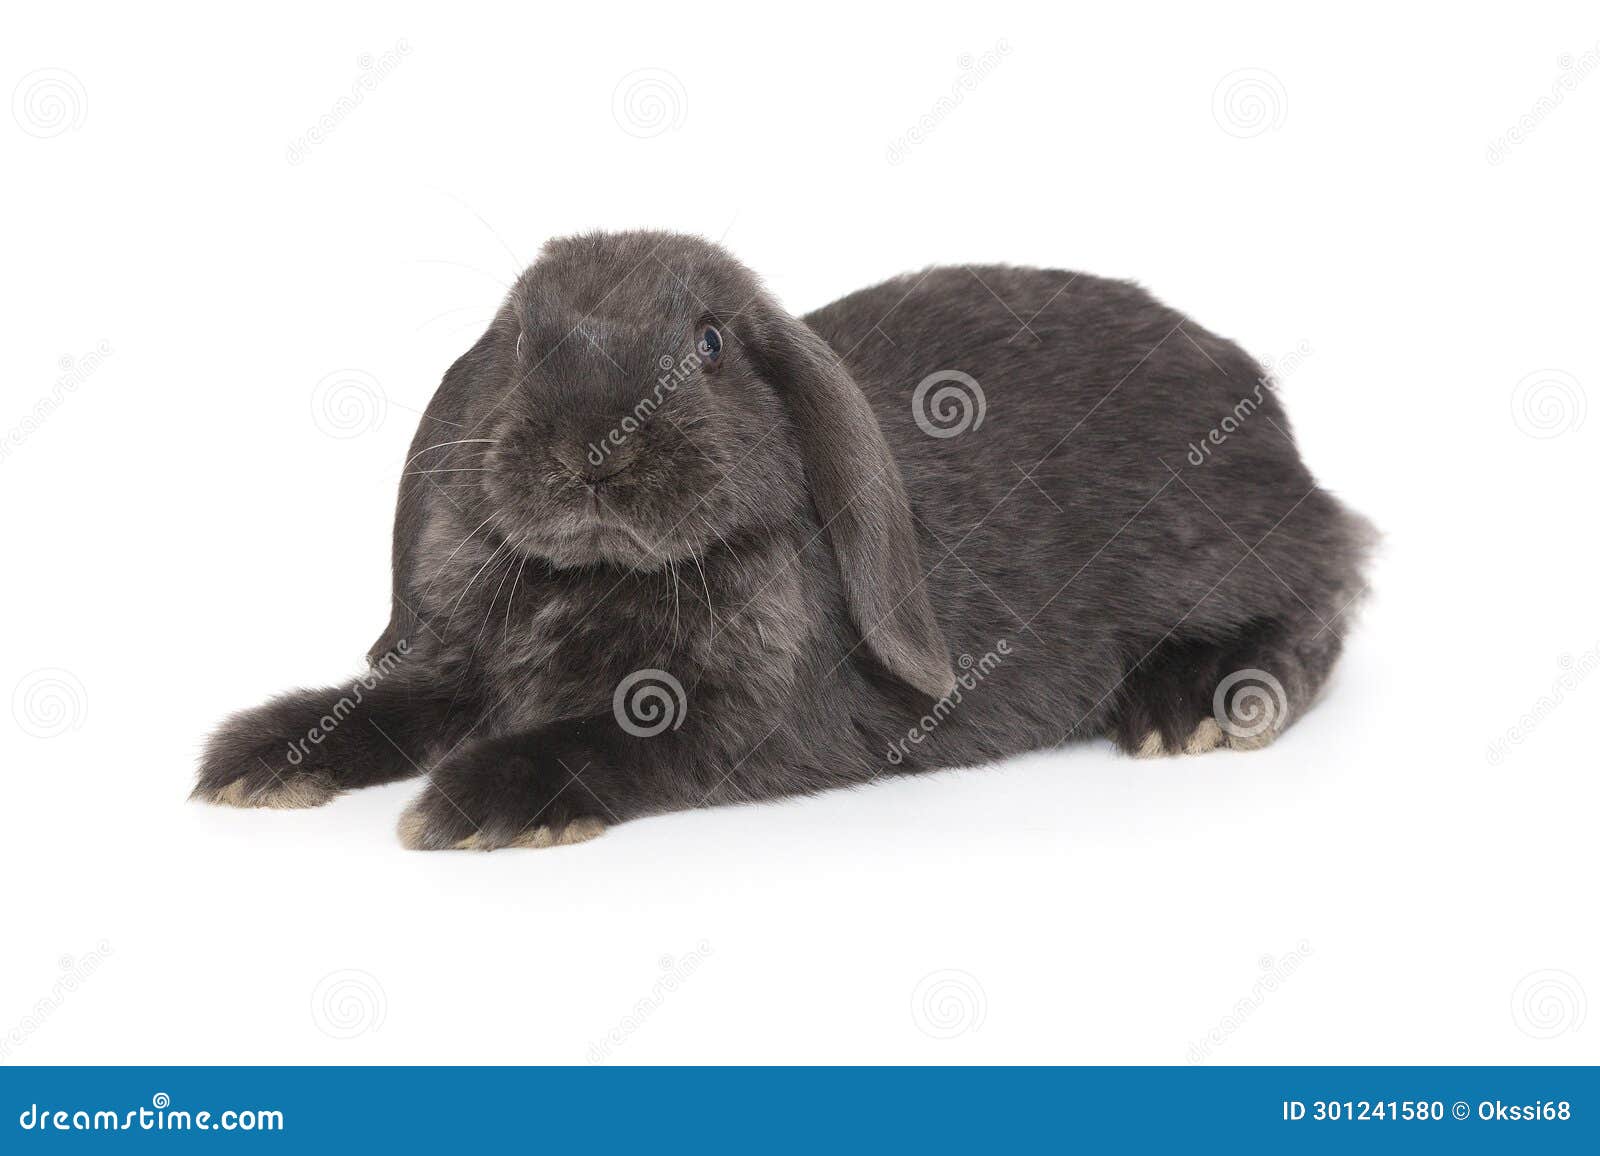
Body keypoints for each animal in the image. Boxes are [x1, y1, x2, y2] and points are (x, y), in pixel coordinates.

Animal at [194, 230, 1373, 849]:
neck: (595, 574)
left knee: (1324, 597)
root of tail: (1255, 397)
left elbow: (601, 742)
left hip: (1226, 543)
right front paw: (255, 762)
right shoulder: (453, 672)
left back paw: (1195, 701)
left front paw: (473, 805)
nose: (592, 448)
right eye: (523, 342)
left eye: (712, 344)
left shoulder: (733, 714)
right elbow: (386, 705)